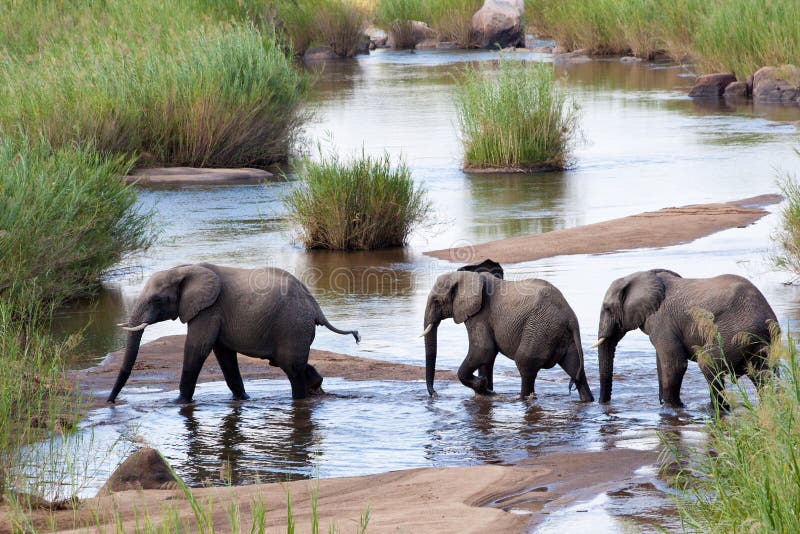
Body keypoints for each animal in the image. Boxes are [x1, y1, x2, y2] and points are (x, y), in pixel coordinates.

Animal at [108, 263, 360, 404]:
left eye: (157, 300)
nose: (111, 402)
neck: (183, 269)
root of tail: (316, 307)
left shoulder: (208, 310)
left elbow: (197, 349)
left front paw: (178, 402)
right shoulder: (214, 314)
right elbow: (224, 355)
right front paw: (242, 399)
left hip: (294, 326)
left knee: (291, 368)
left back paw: (300, 399)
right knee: (286, 362)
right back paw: (316, 387)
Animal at [422, 260, 594, 401]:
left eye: (436, 301)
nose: (435, 394)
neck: (466, 276)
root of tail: (571, 317)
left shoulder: (480, 315)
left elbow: (483, 350)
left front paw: (483, 387)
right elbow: (487, 358)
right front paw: (485, 390)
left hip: (540, 327)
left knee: (525, 363)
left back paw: (521, 398)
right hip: (561, 334)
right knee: (575, 369)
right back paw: (588, 400)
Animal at [594, 269, 778, 408]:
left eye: (607, 309)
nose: (603, 404)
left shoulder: (662, 320)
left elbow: (674, 364)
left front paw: (672, 408)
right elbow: (661, 365)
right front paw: (664, 405)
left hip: (734, 332)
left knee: (708, 363)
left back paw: (717, 409)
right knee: (764, 374)